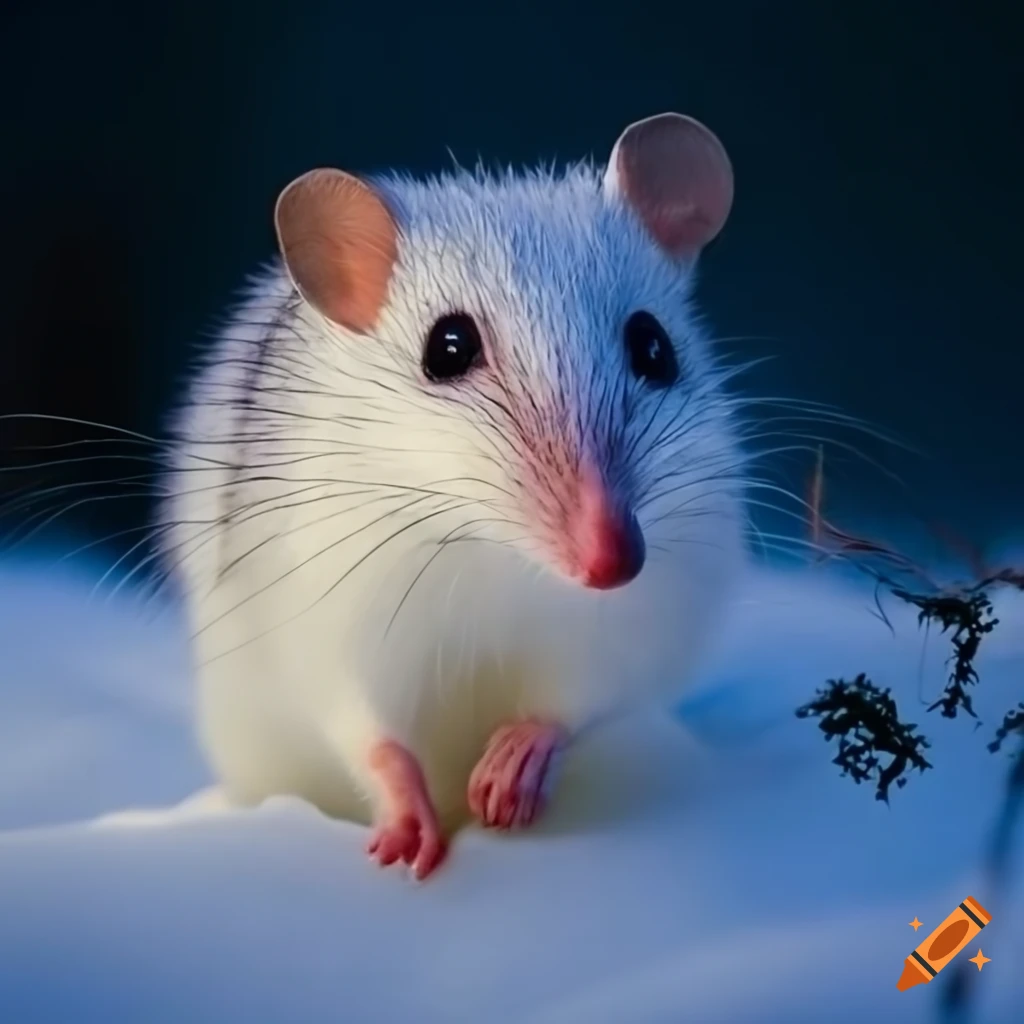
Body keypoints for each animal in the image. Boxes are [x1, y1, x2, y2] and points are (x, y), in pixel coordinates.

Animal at [158, 112, 747, 880]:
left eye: (655, 348)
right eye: (448, 347)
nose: (612, 565)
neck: (491, 553)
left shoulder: (623, 633)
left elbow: (569, 703)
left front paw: (509, 773)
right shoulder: (327, 629)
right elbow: (369, 734)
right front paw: (407, 829)